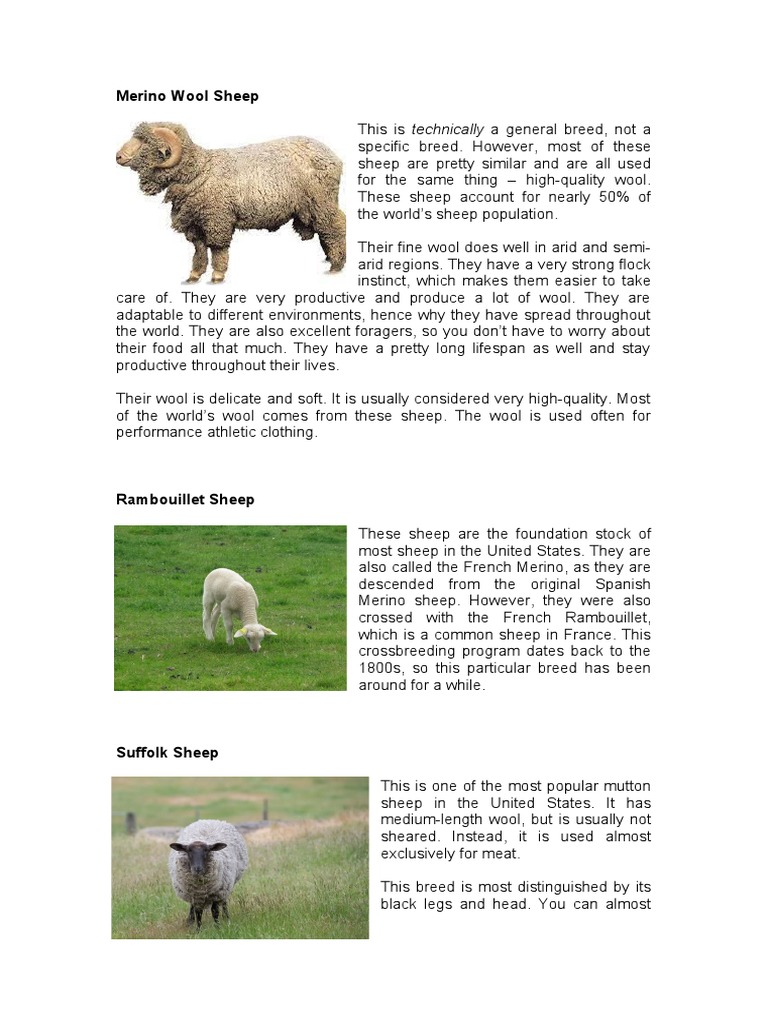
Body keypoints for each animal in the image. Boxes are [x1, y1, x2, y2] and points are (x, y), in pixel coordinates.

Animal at [116, 122, 346, 282]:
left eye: (145, 142)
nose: (118, 156)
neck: (199, 171)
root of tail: (333, 156)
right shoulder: (196, 221)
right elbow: (199, 249)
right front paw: (194, 275)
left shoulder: (218, 218)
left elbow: (218, 248)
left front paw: (217, 275)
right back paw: (329, 258)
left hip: (321, 200)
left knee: (336, 226)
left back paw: (336, 265)